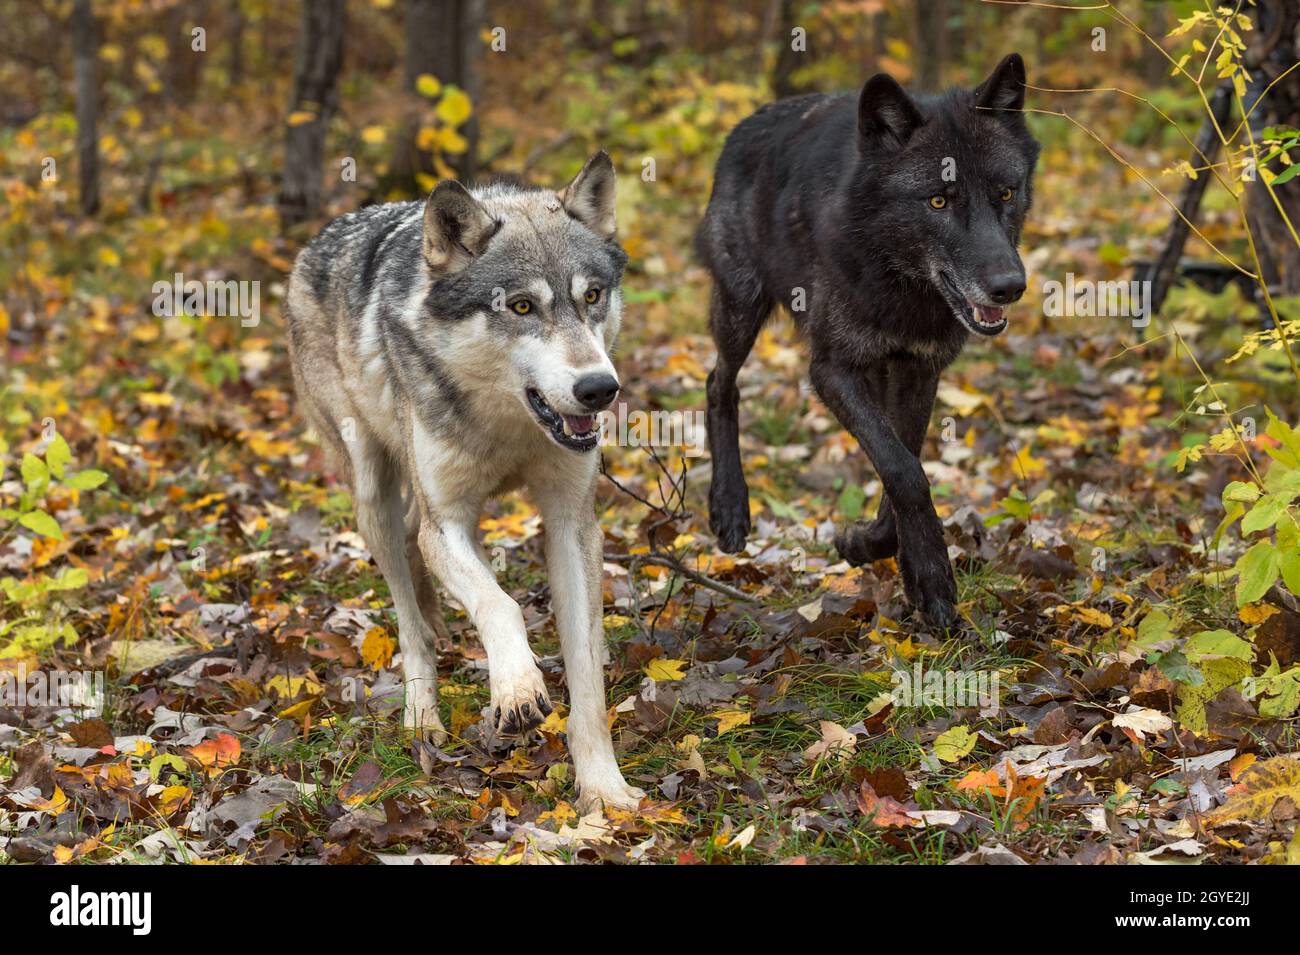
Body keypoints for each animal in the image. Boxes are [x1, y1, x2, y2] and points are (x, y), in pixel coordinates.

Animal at [285, 152, 645, 811]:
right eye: (522, 307)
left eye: (593, 296)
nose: (598, 389)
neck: (510, 424)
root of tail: (319, 238)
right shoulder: (445, 521)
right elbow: (501, 605)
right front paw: (517, 689)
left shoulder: (570, 523)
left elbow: (585, 670)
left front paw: (604, 792)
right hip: (372, 494)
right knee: (409, 614)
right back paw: (422, 715)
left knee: (427, 554)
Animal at [697, 54, 1039, 630]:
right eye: (938, 200)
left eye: (1006, 194)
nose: (1010, 286)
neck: (899, 278)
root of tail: (747, 122)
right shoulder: (832, 368)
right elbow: (904, 469)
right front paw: (933, 580)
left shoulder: (918, 368)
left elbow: (903, 459)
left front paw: (874, 547)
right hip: (741, 307)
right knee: (718, 381)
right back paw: (730, 508)